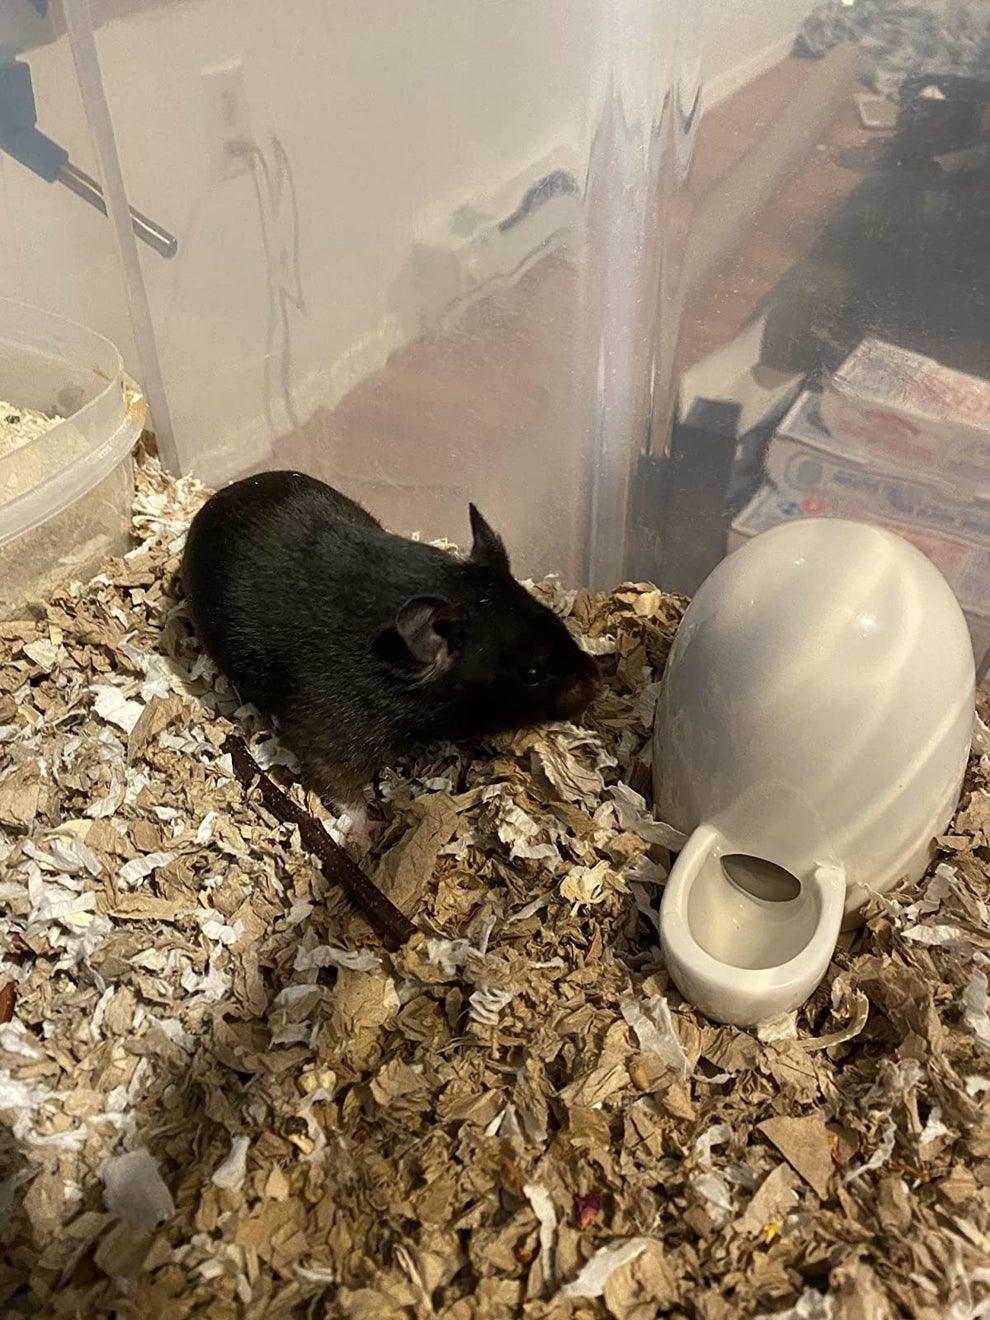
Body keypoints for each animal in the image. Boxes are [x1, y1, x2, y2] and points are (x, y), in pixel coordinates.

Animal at [180, 471, 600, 829]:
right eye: (532, 674)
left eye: (557, 622)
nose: (597, 683)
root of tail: (215, 499)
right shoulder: (326, 733)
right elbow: (342, 789)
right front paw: (367, 836)